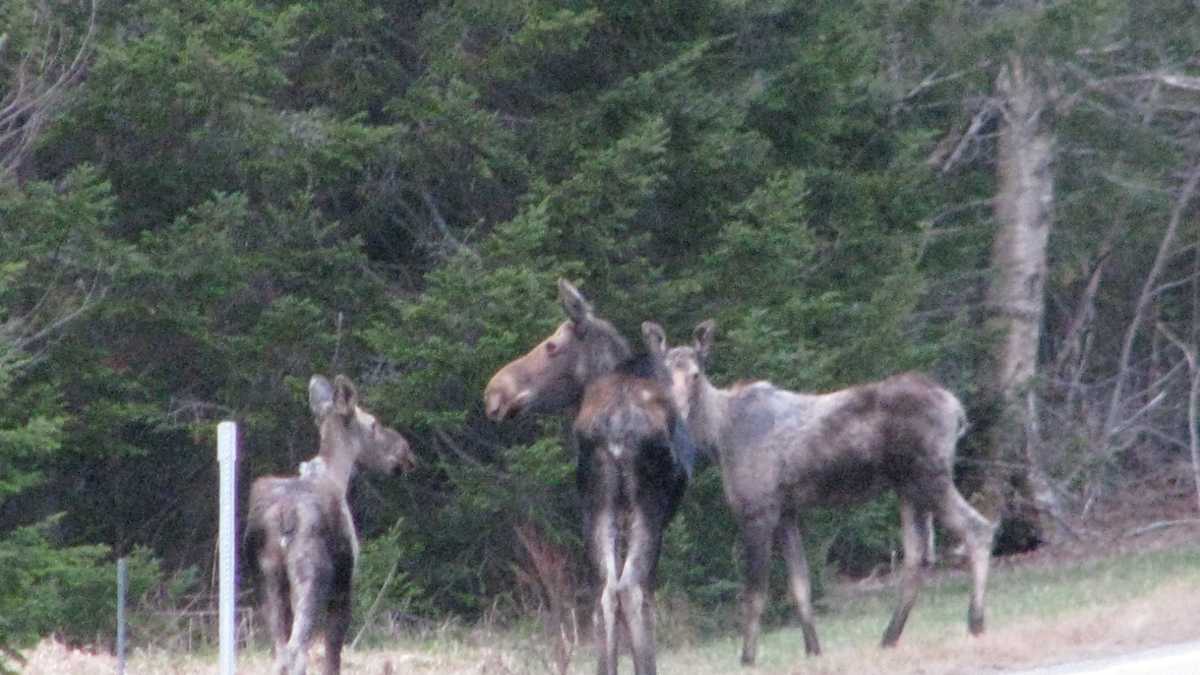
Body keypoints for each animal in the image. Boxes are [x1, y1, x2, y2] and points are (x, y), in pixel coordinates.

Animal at [245, 374, 416, 675]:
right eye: (373, 423)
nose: (405, 452)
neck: (338, 475)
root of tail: (285, 514)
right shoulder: (343, 585)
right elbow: (332, 656)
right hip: (311, 577)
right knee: (296, 651)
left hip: (267, 581)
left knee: (281, 653)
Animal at [484, 279, 695, 675]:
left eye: (552, 345)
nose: (493, 392)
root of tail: (616, 427)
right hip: (646, 503)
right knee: (630, 589)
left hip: (595, 502)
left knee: (606, 592)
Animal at [643, 320, 995, 666]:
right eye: (664, 375)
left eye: (695, 375)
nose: (677, 415)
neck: (718, 439)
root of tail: (957, 409)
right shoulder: (787, 511)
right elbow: (800, 585)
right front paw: (813, 649)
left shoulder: (758, 509)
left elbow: (755, 593)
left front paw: (747, 658)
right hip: (908, 487)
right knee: (917, 556)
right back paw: (889, 636)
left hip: (930, 475)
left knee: (978, 528)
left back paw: (975, 624)